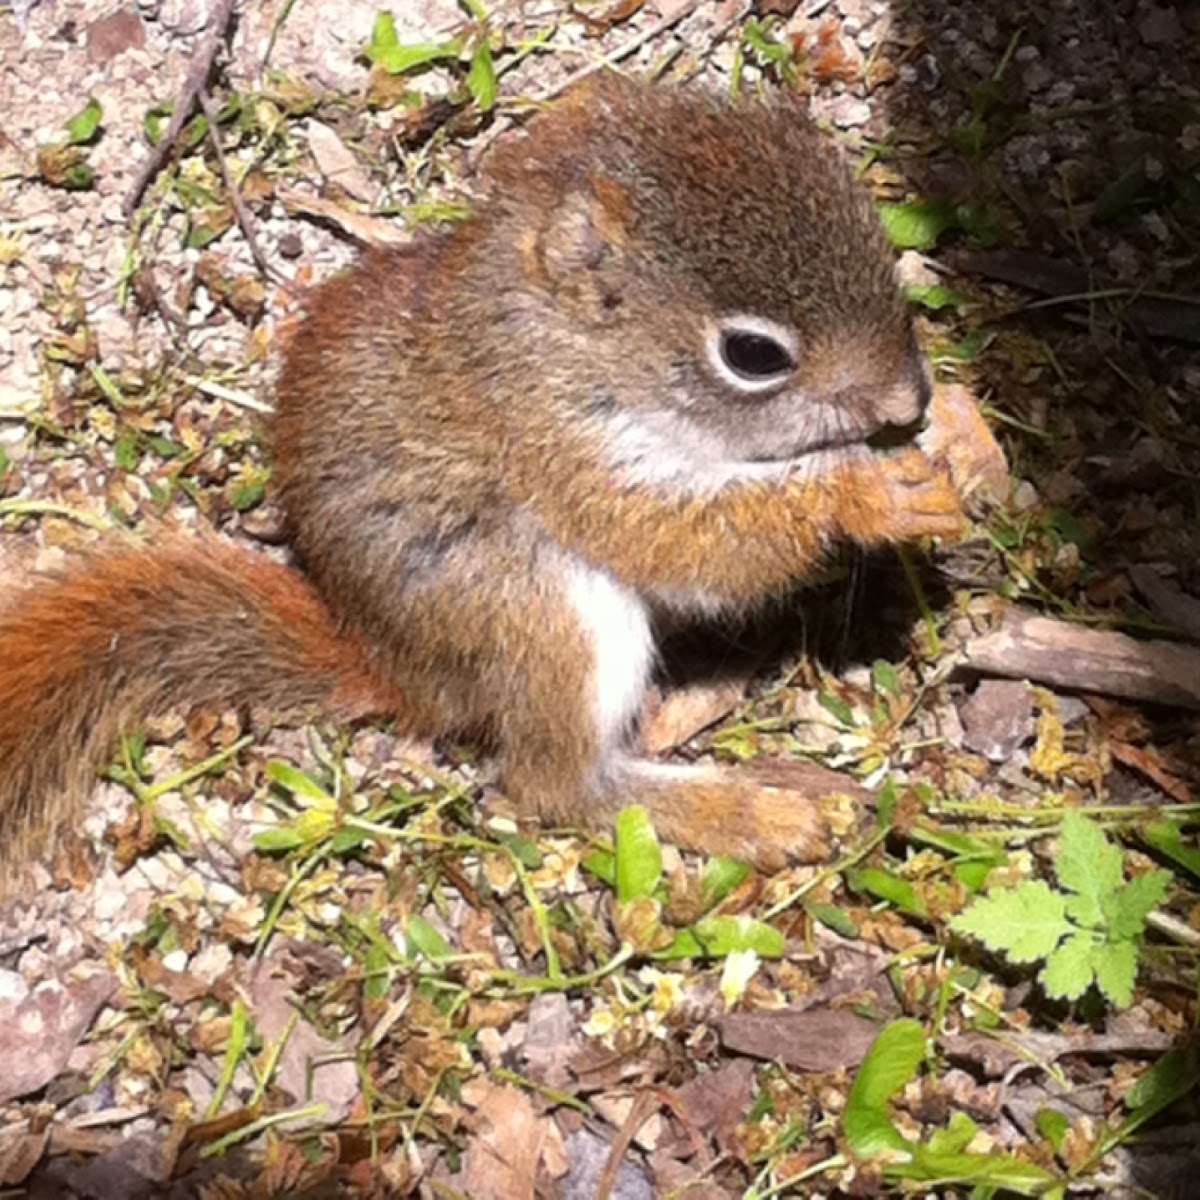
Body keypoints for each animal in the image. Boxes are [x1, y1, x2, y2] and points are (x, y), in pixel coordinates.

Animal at [0, 75, 990, 874]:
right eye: (753, 355)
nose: (908, 396)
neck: (564, 344)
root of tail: (396, 669)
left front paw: (962, 440)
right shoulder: (557, 452)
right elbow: (689, 546)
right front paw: (863, 493)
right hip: (542, 613)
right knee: (557, 786)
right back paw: (749, 809)